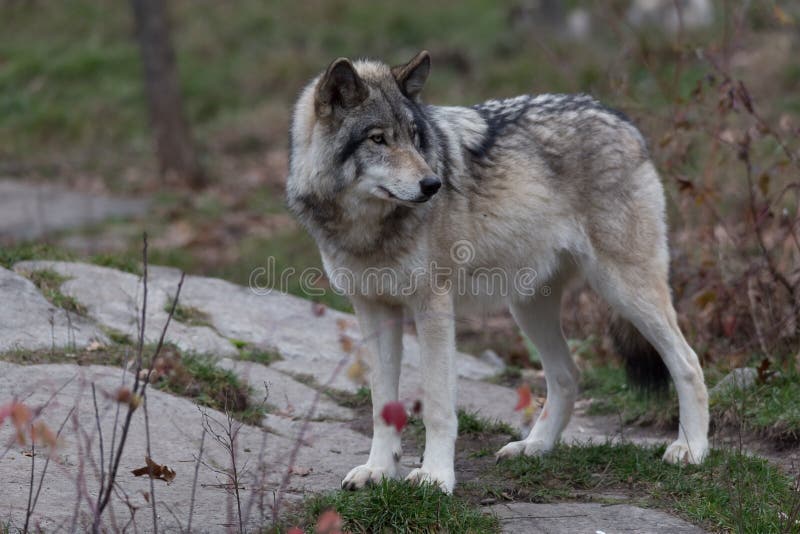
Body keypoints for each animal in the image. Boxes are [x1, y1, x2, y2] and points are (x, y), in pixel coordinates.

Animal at [286, 51, 710, 493]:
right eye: (378, 139)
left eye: (415, 137)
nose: (433, 184)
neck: (368, 229)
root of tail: (620, 118)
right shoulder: (372, 308)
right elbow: (381, 405)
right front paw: (379, 471)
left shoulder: (433, 307)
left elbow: (438, 406)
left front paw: (435, 477)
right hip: (529, 306)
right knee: (567, 375)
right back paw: (535, 446)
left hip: (624, 290)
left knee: (688, 362)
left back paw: (691, 449)